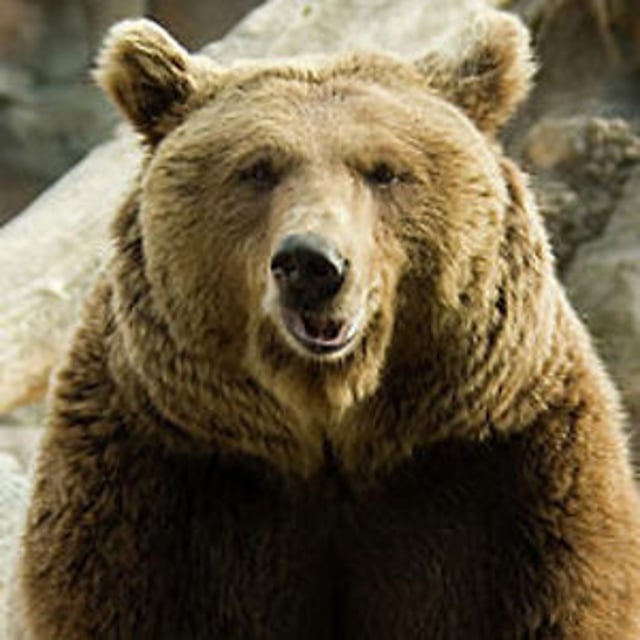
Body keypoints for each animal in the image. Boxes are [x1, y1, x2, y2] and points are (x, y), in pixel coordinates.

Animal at [14, 11, 640, 640]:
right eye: (257, 169)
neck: (331, 433)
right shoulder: (156, 485)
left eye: (385, 171)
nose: (311, 264)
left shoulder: (511, 477)